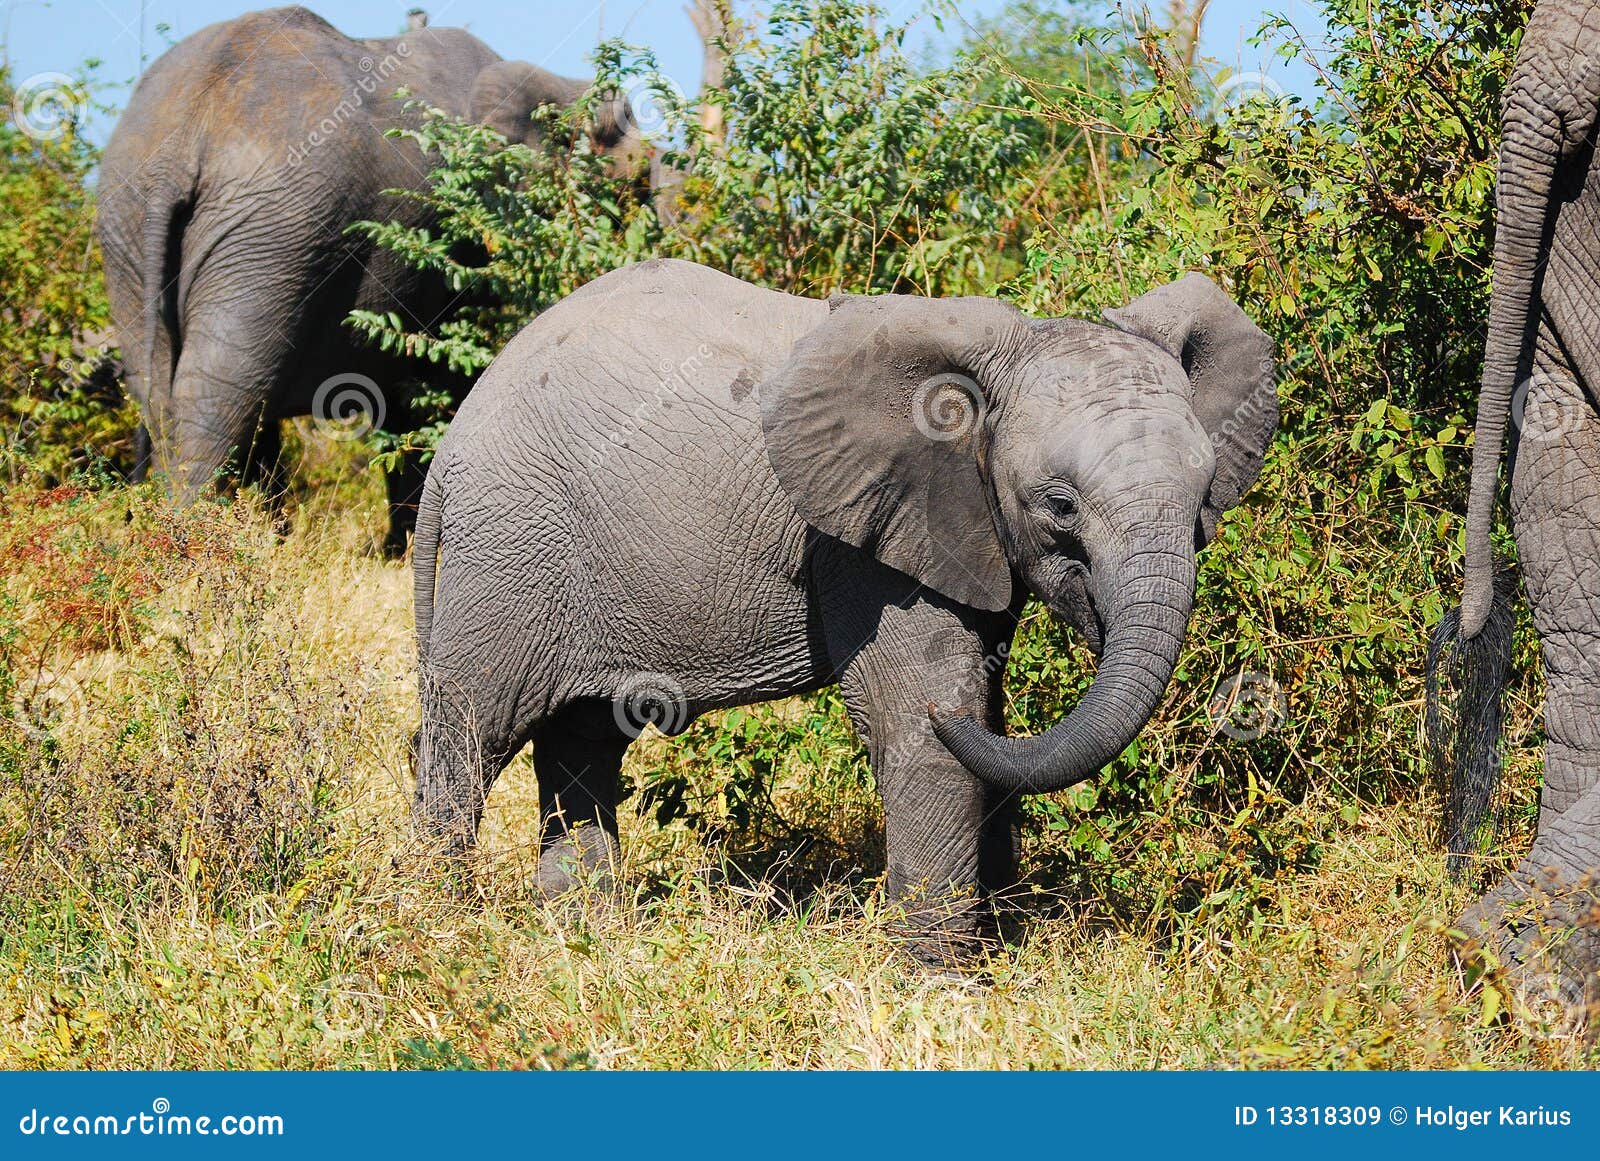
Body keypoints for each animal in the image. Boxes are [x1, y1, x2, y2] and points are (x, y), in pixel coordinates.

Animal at [96, 6, 654, 555]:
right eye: (639, 177)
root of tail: (183, 138)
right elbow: (435, 379)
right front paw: (404, 552)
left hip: (133, 222)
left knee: (162, 388)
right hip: (274, 227)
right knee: (220, 383)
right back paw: (200, 542)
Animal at [410, 258, 1277, 964]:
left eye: (1206, 494)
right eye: (1059, 505)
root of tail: (453, 443)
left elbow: (986, 724)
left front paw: (994, 947)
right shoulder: (865, 541)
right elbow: (925, 720)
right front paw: (941, 979)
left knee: (580, 740)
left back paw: (586, 933)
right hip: (511, 545)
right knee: (472, 732)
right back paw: (439, 925)